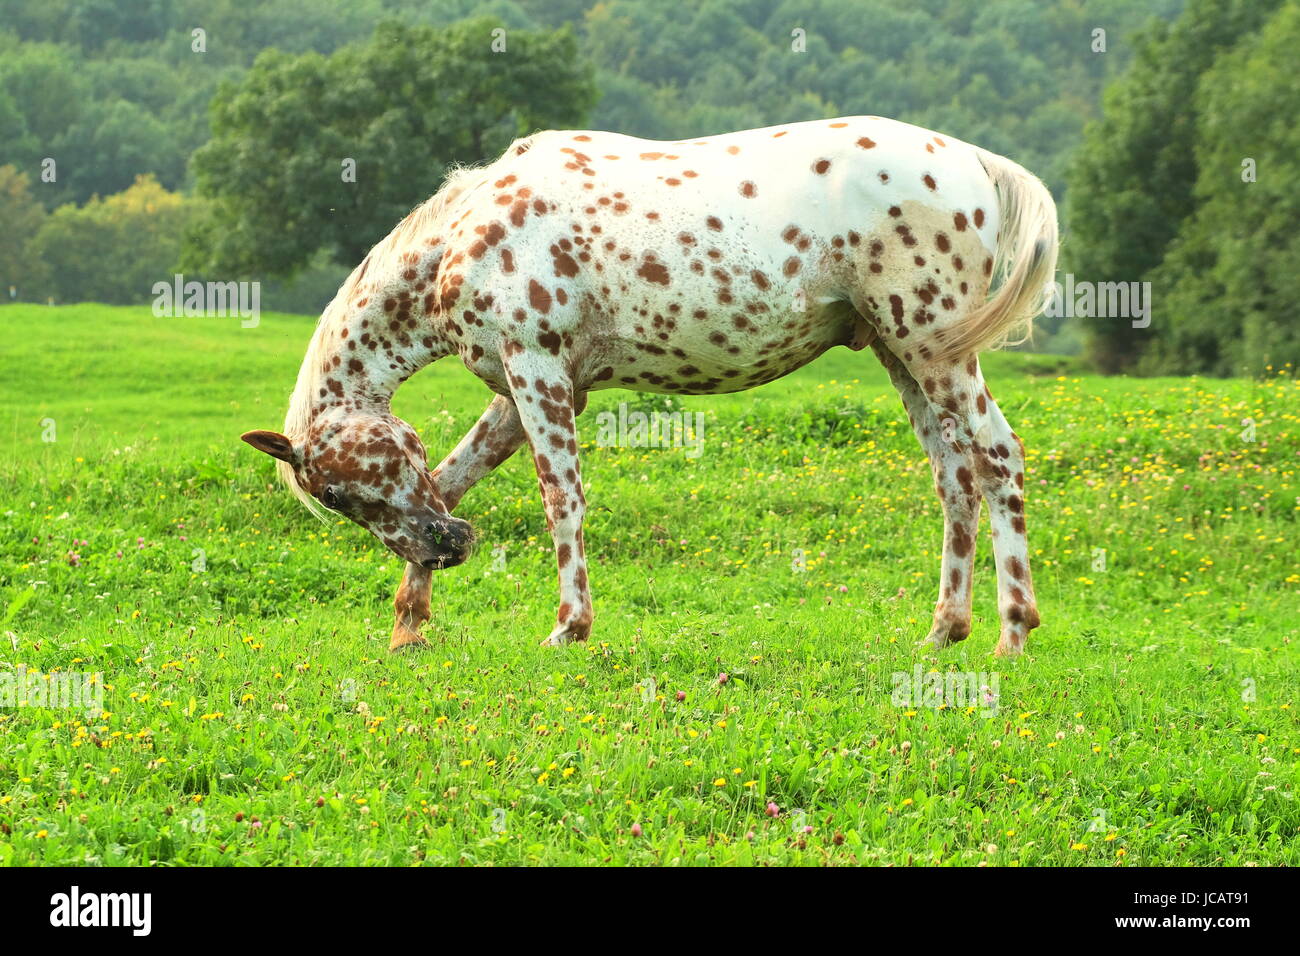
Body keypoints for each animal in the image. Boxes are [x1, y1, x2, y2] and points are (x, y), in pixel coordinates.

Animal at [241, 116, 1058, 656]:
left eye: (341, 491)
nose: (447, 547)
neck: (467, 237)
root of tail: (976, 161)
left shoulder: (538, 371)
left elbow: (560, 498)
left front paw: (568, 628)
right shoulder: (517, 391)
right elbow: (452, 476)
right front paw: (409, 621)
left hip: (933, 348)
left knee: (998, 458)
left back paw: (1012, 633)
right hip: (903, 354)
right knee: (954, 478)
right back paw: (944, 629)